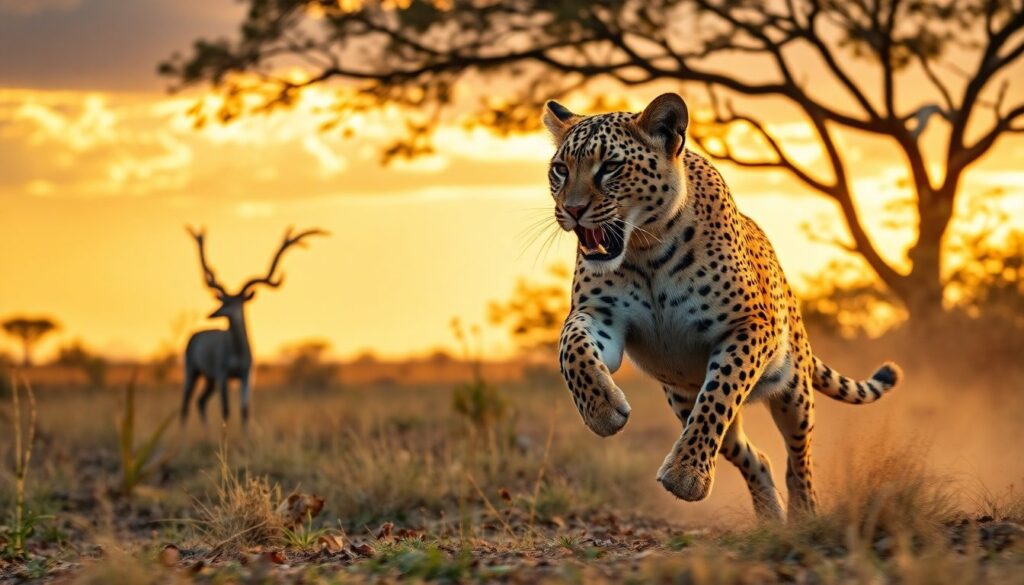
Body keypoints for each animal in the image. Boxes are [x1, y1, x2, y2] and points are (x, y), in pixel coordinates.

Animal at [543, 93, 902, 520]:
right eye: (560, 169)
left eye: (611, 167)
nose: (572, 209)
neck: (645, 249)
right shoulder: (601, 316)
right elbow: (572, 348)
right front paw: (601, 410)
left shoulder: (749, 327)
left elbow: (720, 395)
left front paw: (685, 476)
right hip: (683, 398)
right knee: (754, 456)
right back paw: (769, 516)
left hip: (795, 391)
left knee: (798, 458)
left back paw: (804, 513)